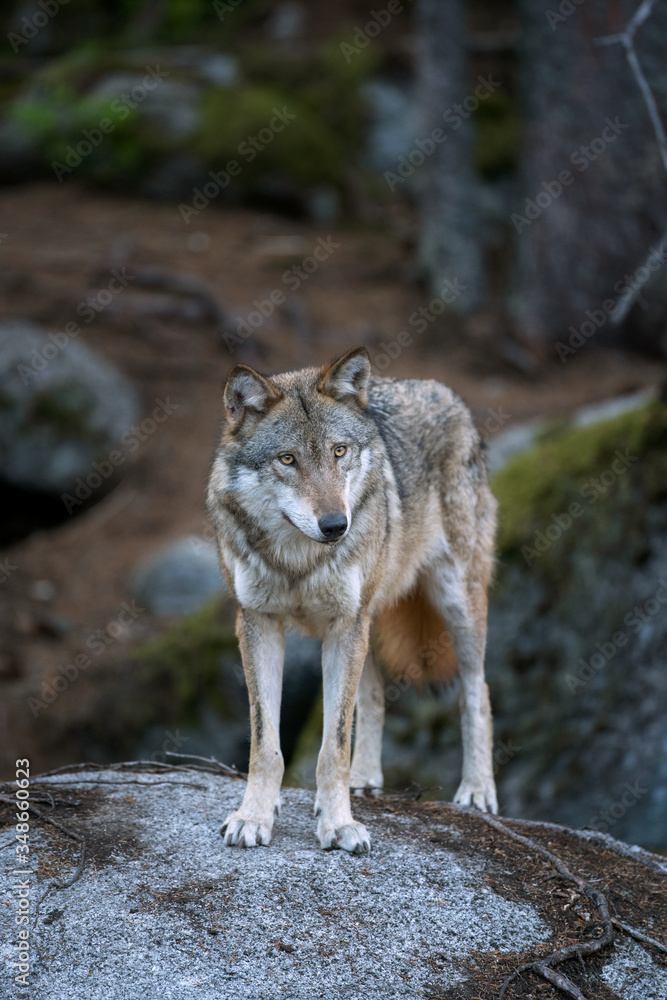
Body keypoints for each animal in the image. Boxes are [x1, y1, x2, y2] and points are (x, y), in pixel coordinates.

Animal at [207, 346, 498, 854]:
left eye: (339, 452)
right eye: (288, 459)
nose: (335, 525)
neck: (299, 560)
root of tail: (447, 393)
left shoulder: (345, 623)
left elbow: (333, 745)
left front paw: (339, 825)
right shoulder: (259, 623)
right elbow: (266, 742)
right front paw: (255, 816)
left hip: (454, 603)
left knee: (476, 692)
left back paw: (477, 790)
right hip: (368, 625)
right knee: (375, 694)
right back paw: (364, 780)